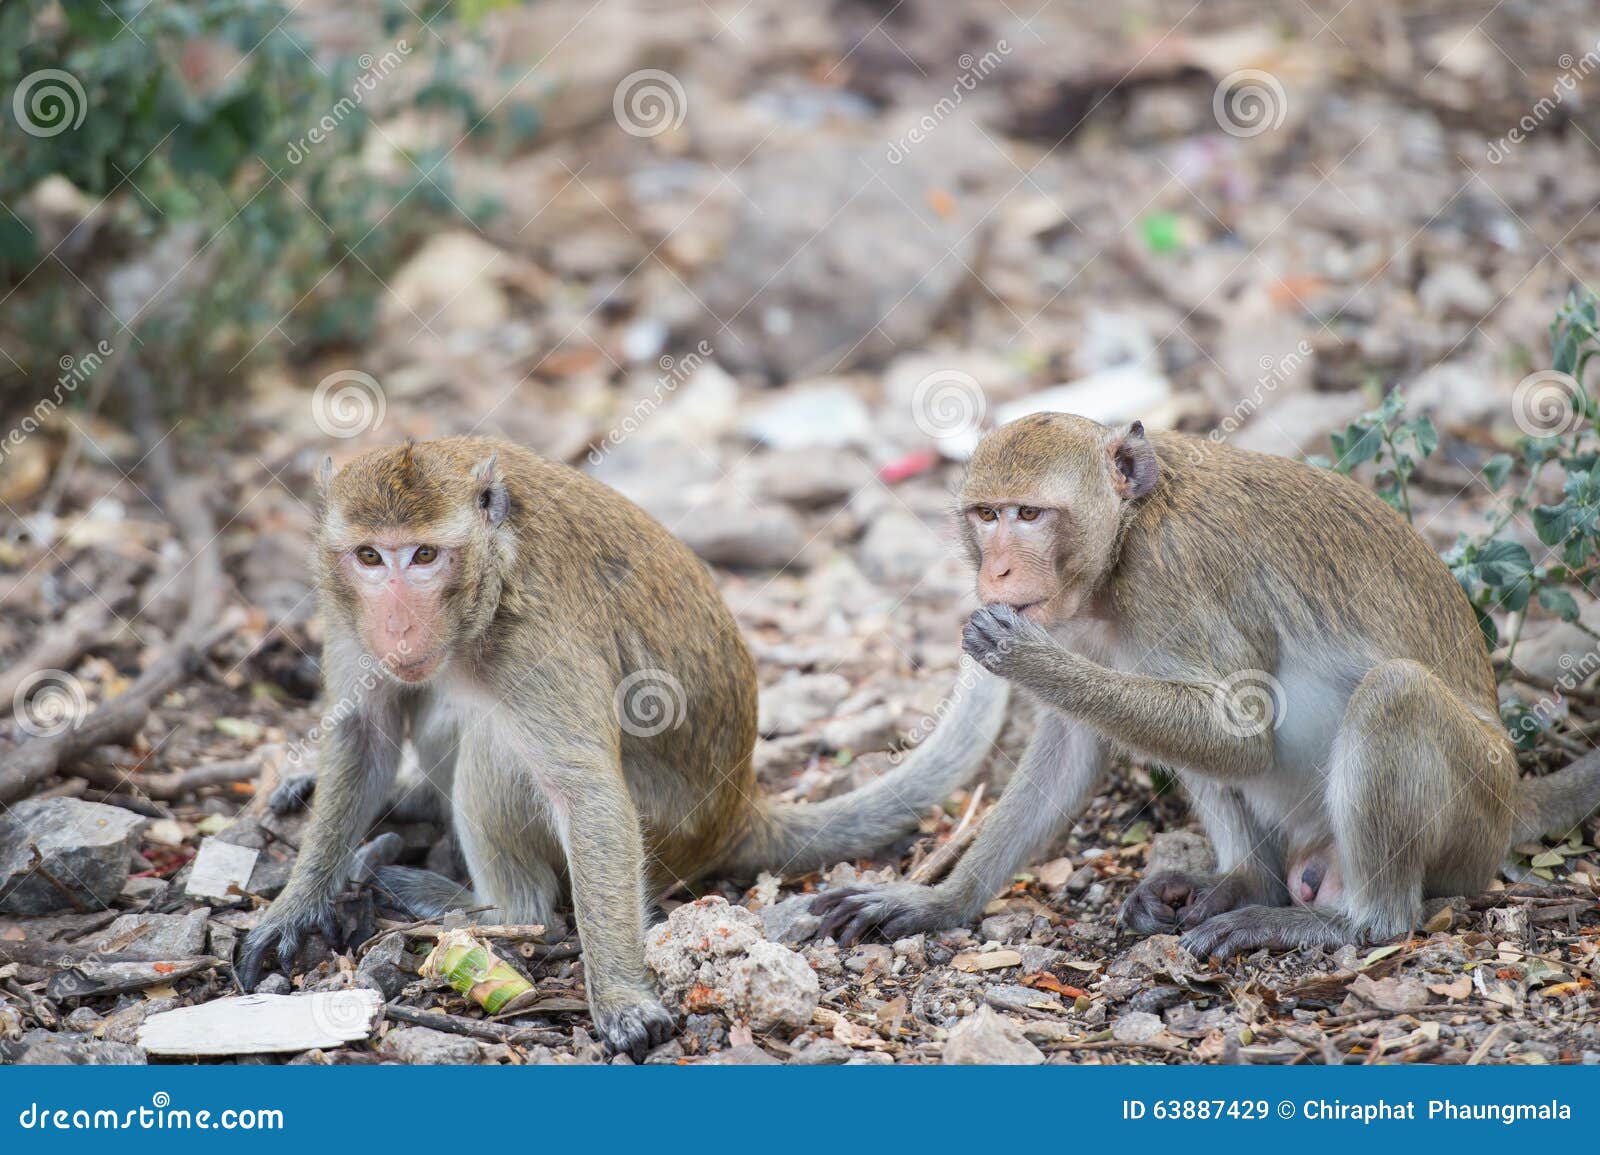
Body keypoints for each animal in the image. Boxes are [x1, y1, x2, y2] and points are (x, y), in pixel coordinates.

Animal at [236, 437, 1008, 1059]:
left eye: (424, 556)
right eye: (370, 557)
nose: (397, 627)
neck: (493, 575)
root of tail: (738, 808)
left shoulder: (537, 640)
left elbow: (588, 794)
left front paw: (620, 998)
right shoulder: (343, 608)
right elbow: (362, 734)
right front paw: (295, 906)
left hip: (667, 836)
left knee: (498, 754)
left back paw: (490, 910)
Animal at [814, 412, 1600, 957]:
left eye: (1030, 514)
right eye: (987, 514)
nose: (997, 571)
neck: (1126, 536)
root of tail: (1513, 793)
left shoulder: (1175, 572)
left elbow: (1241, 728)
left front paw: (1024, 659)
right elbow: (1075, 747)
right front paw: (940, 900)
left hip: (1473, 814)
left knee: (1394, 693)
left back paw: (1343, 922)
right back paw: (1249, 882)